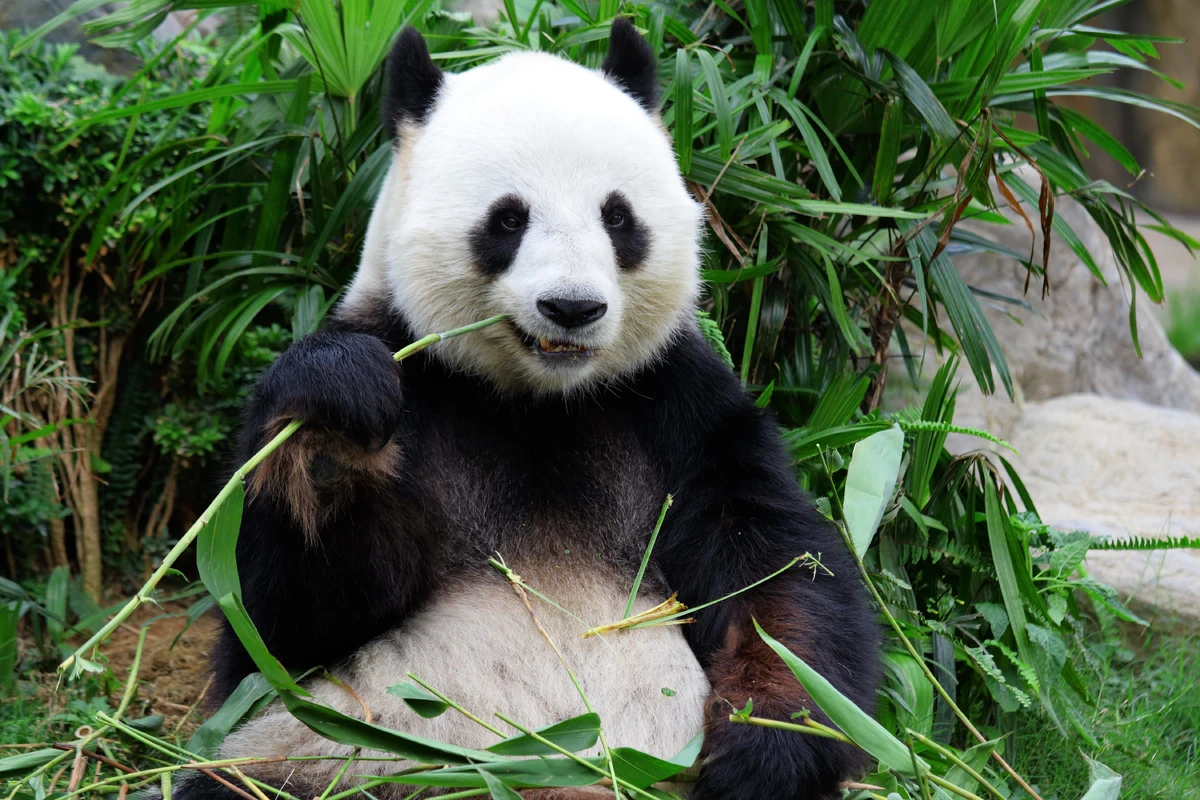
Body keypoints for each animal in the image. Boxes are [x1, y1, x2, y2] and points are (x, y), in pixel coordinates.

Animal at [191, 19, 880, 800]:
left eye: (618, 216)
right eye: (508, 219)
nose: (572, 308)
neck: (538, 401)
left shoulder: (678, 404)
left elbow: (776, 573)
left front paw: (762, 749)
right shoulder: (415, 372)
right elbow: (279, 626)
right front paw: (336, 427)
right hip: (337, 759)